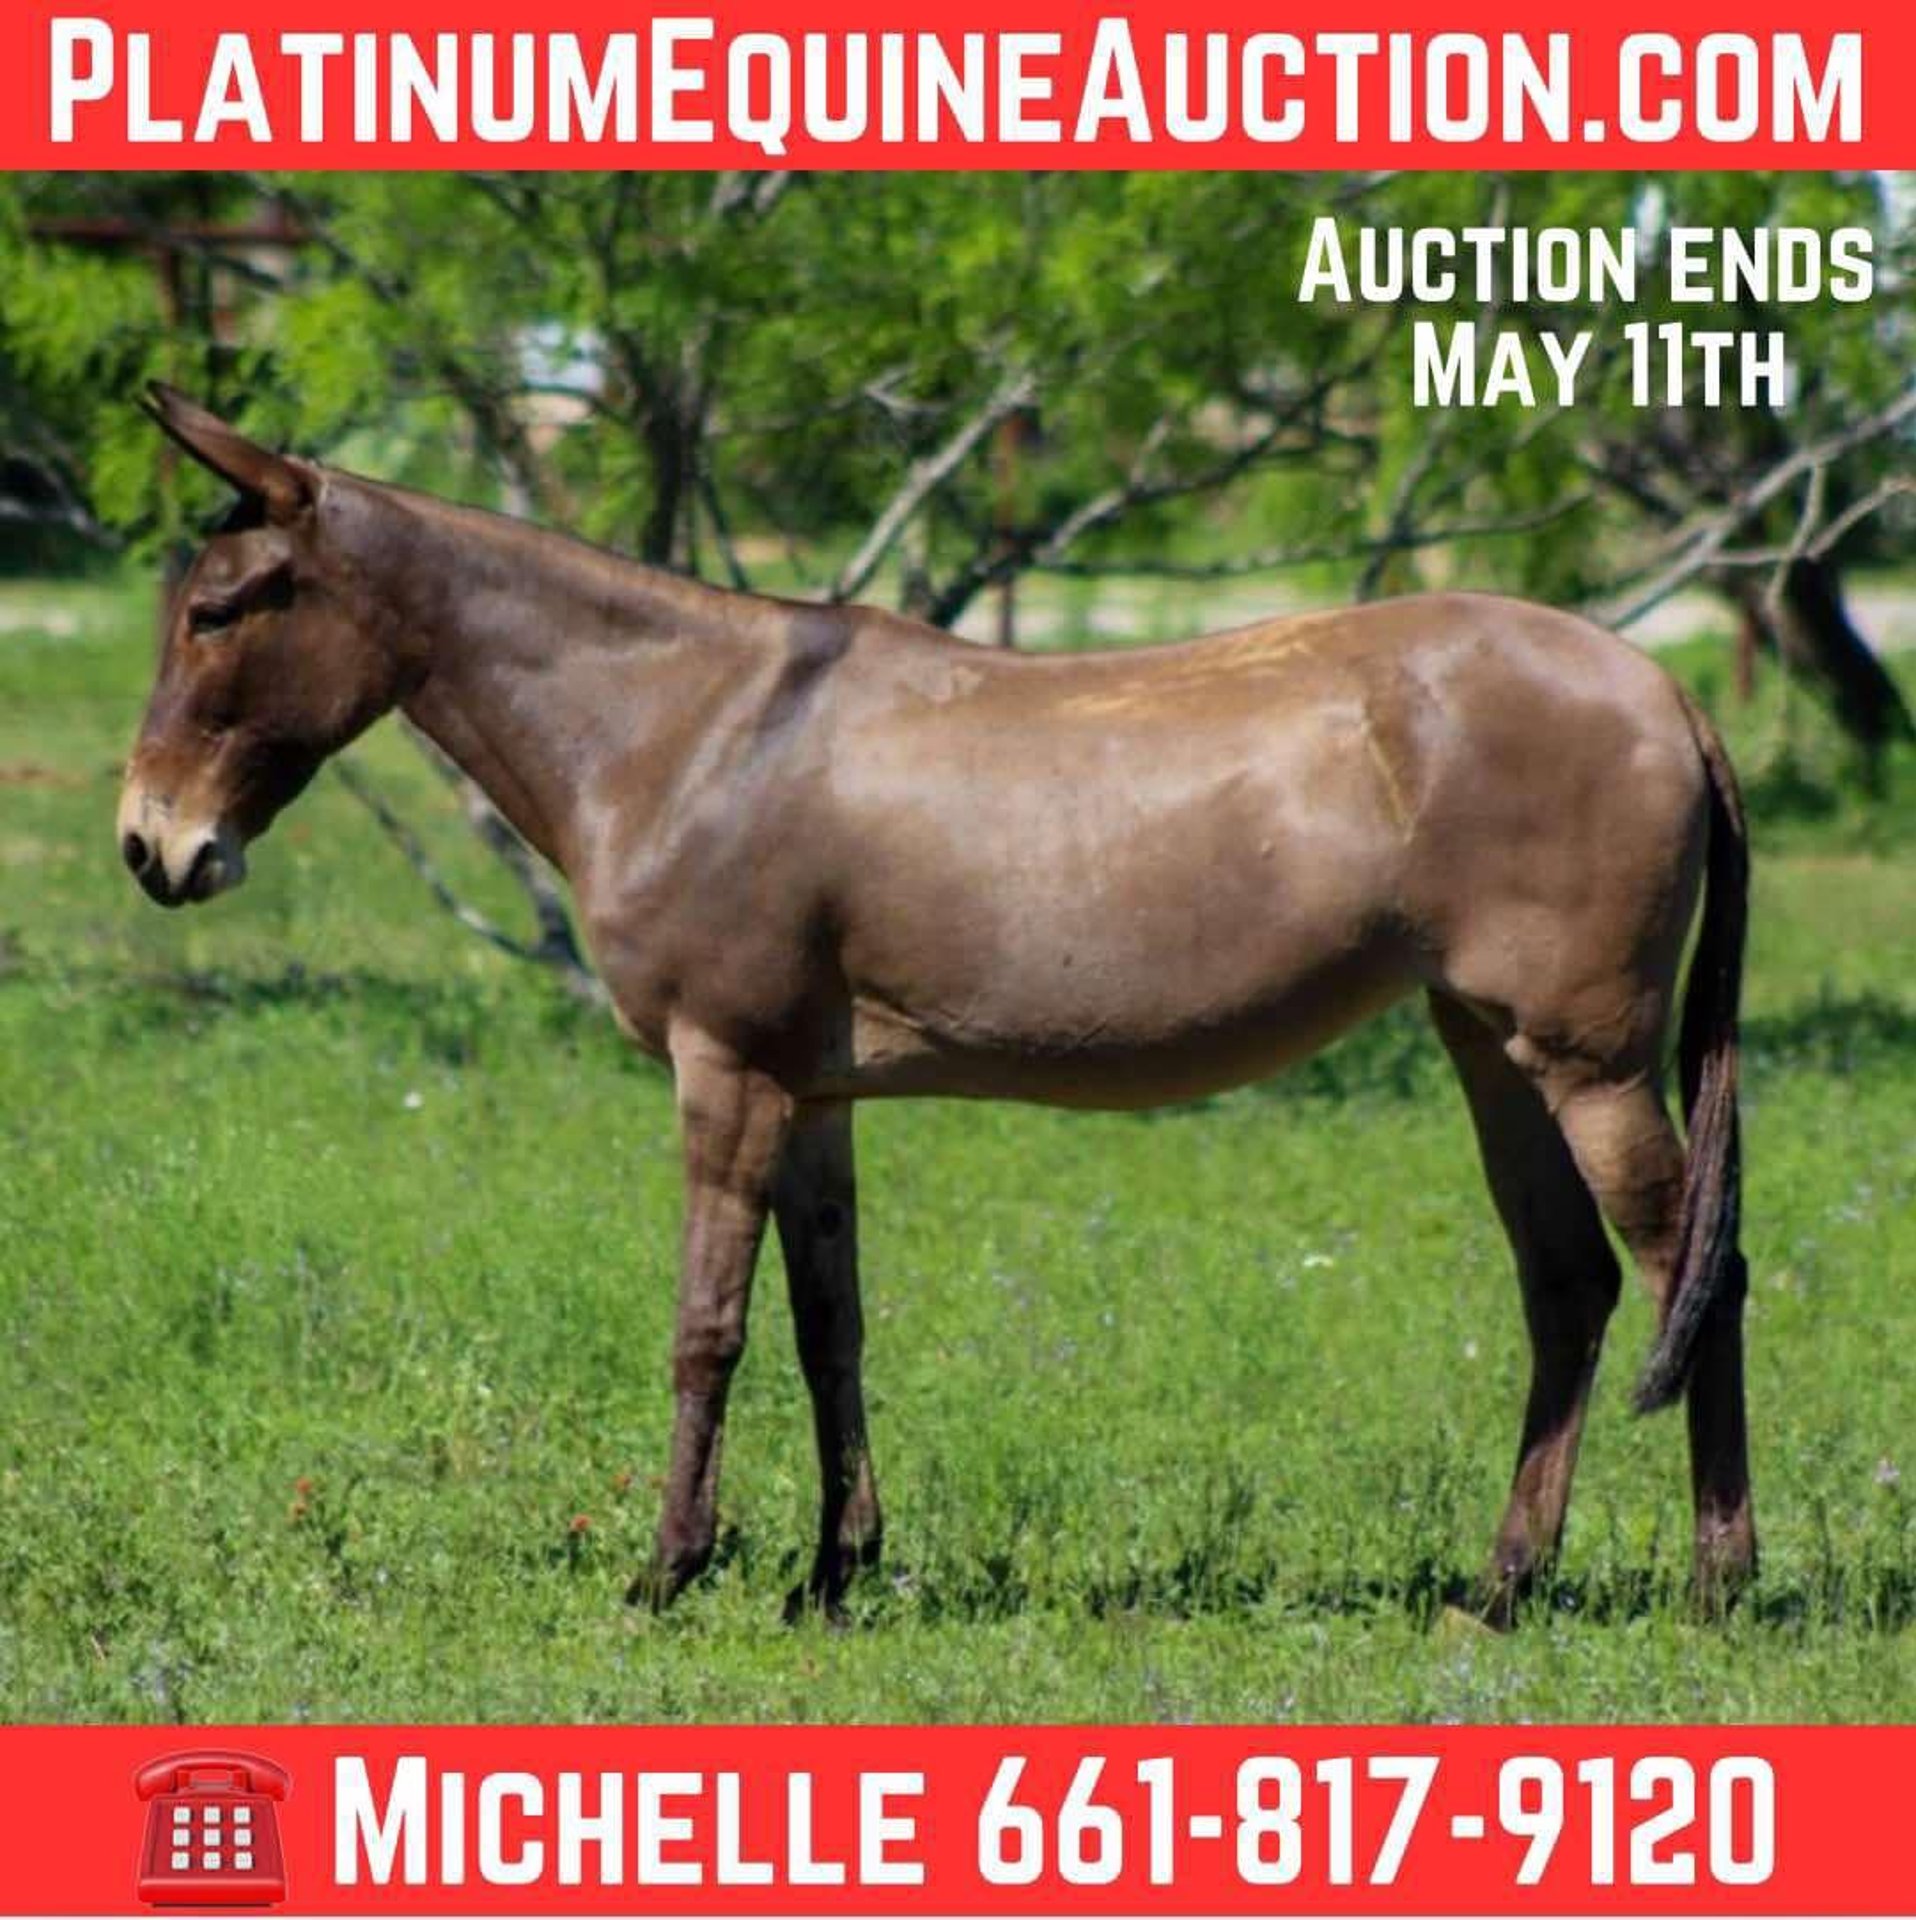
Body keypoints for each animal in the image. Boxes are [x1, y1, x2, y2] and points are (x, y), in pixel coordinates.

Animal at [118, 385, 1755, 1622]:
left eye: (219, 610)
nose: (152, 846)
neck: (687, 729)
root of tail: (1663, 691)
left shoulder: (725, 1075)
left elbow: (708, 1326)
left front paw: (669, 1569)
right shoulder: (810, 1095)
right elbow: (825, 1324)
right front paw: (833, 1574)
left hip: (1589, 1065)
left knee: (1695, 1275)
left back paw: (1718, 1586)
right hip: (1492, 1053)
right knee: (1571, 1287)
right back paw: (1503, 1587)